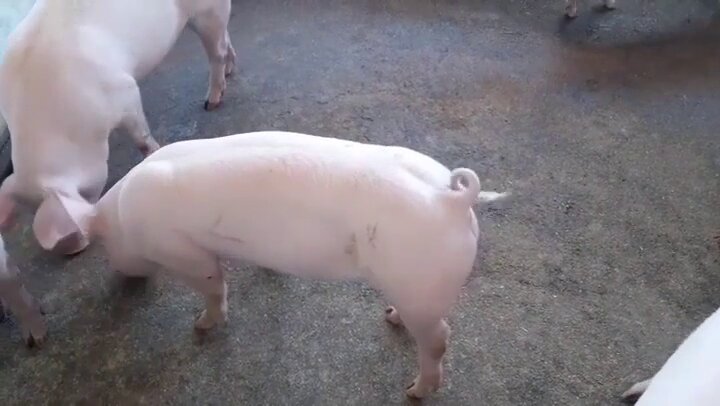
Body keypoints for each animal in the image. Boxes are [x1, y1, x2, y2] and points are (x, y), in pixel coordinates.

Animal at [0, 0, 236, 255]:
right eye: (32, 210)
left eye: (79, 196)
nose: (71, 251)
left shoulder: (124, 93)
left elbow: (141, 136)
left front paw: (152, 153)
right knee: (225, 39)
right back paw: (230, 71)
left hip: (208, 11)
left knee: (217, 51)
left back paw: (211, 102)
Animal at [31, 131, 509, 398]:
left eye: (104, 248)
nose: (122, 276)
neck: (123, 215)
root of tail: (452, 199)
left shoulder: (184, 251)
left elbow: (213, 284)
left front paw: (201, 326)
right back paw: (391, 318)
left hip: (421, 284)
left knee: (439, 339)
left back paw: (413, 391)